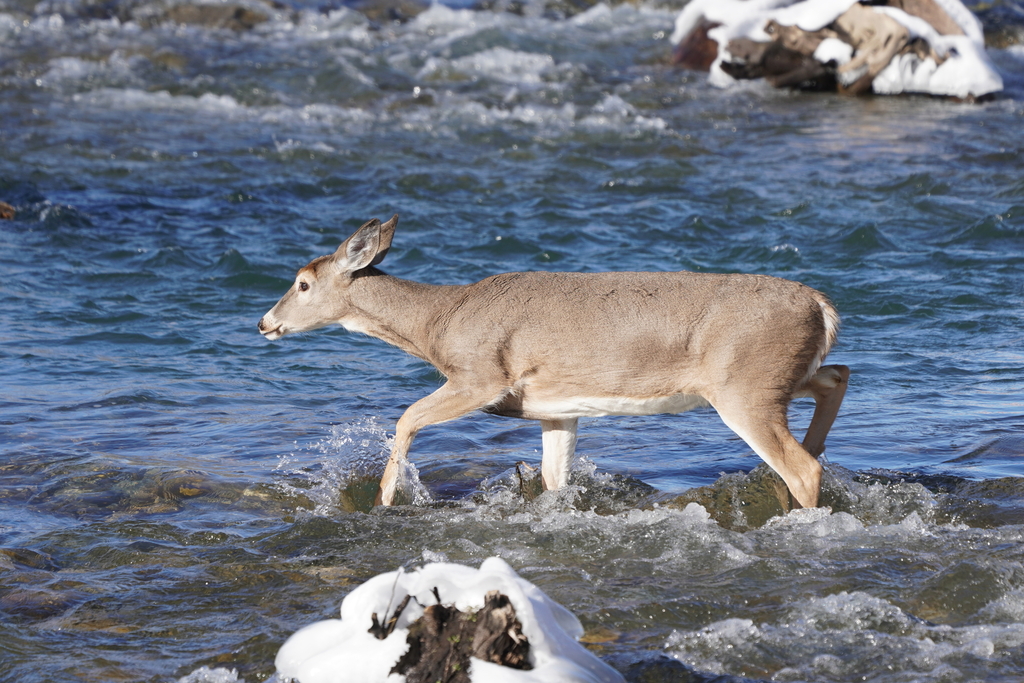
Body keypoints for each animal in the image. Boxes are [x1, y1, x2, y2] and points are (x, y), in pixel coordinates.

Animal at [258, 215, 850, 509]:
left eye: (303, 283)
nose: (265, 322)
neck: (437, 324)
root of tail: (822, 305)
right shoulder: (556, 409)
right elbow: (553, 480)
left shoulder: (481, 375)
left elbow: (405, 418)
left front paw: (384, 498)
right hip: (776, 376)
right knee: (836, 377)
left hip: (743, 385)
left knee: (802, 466)